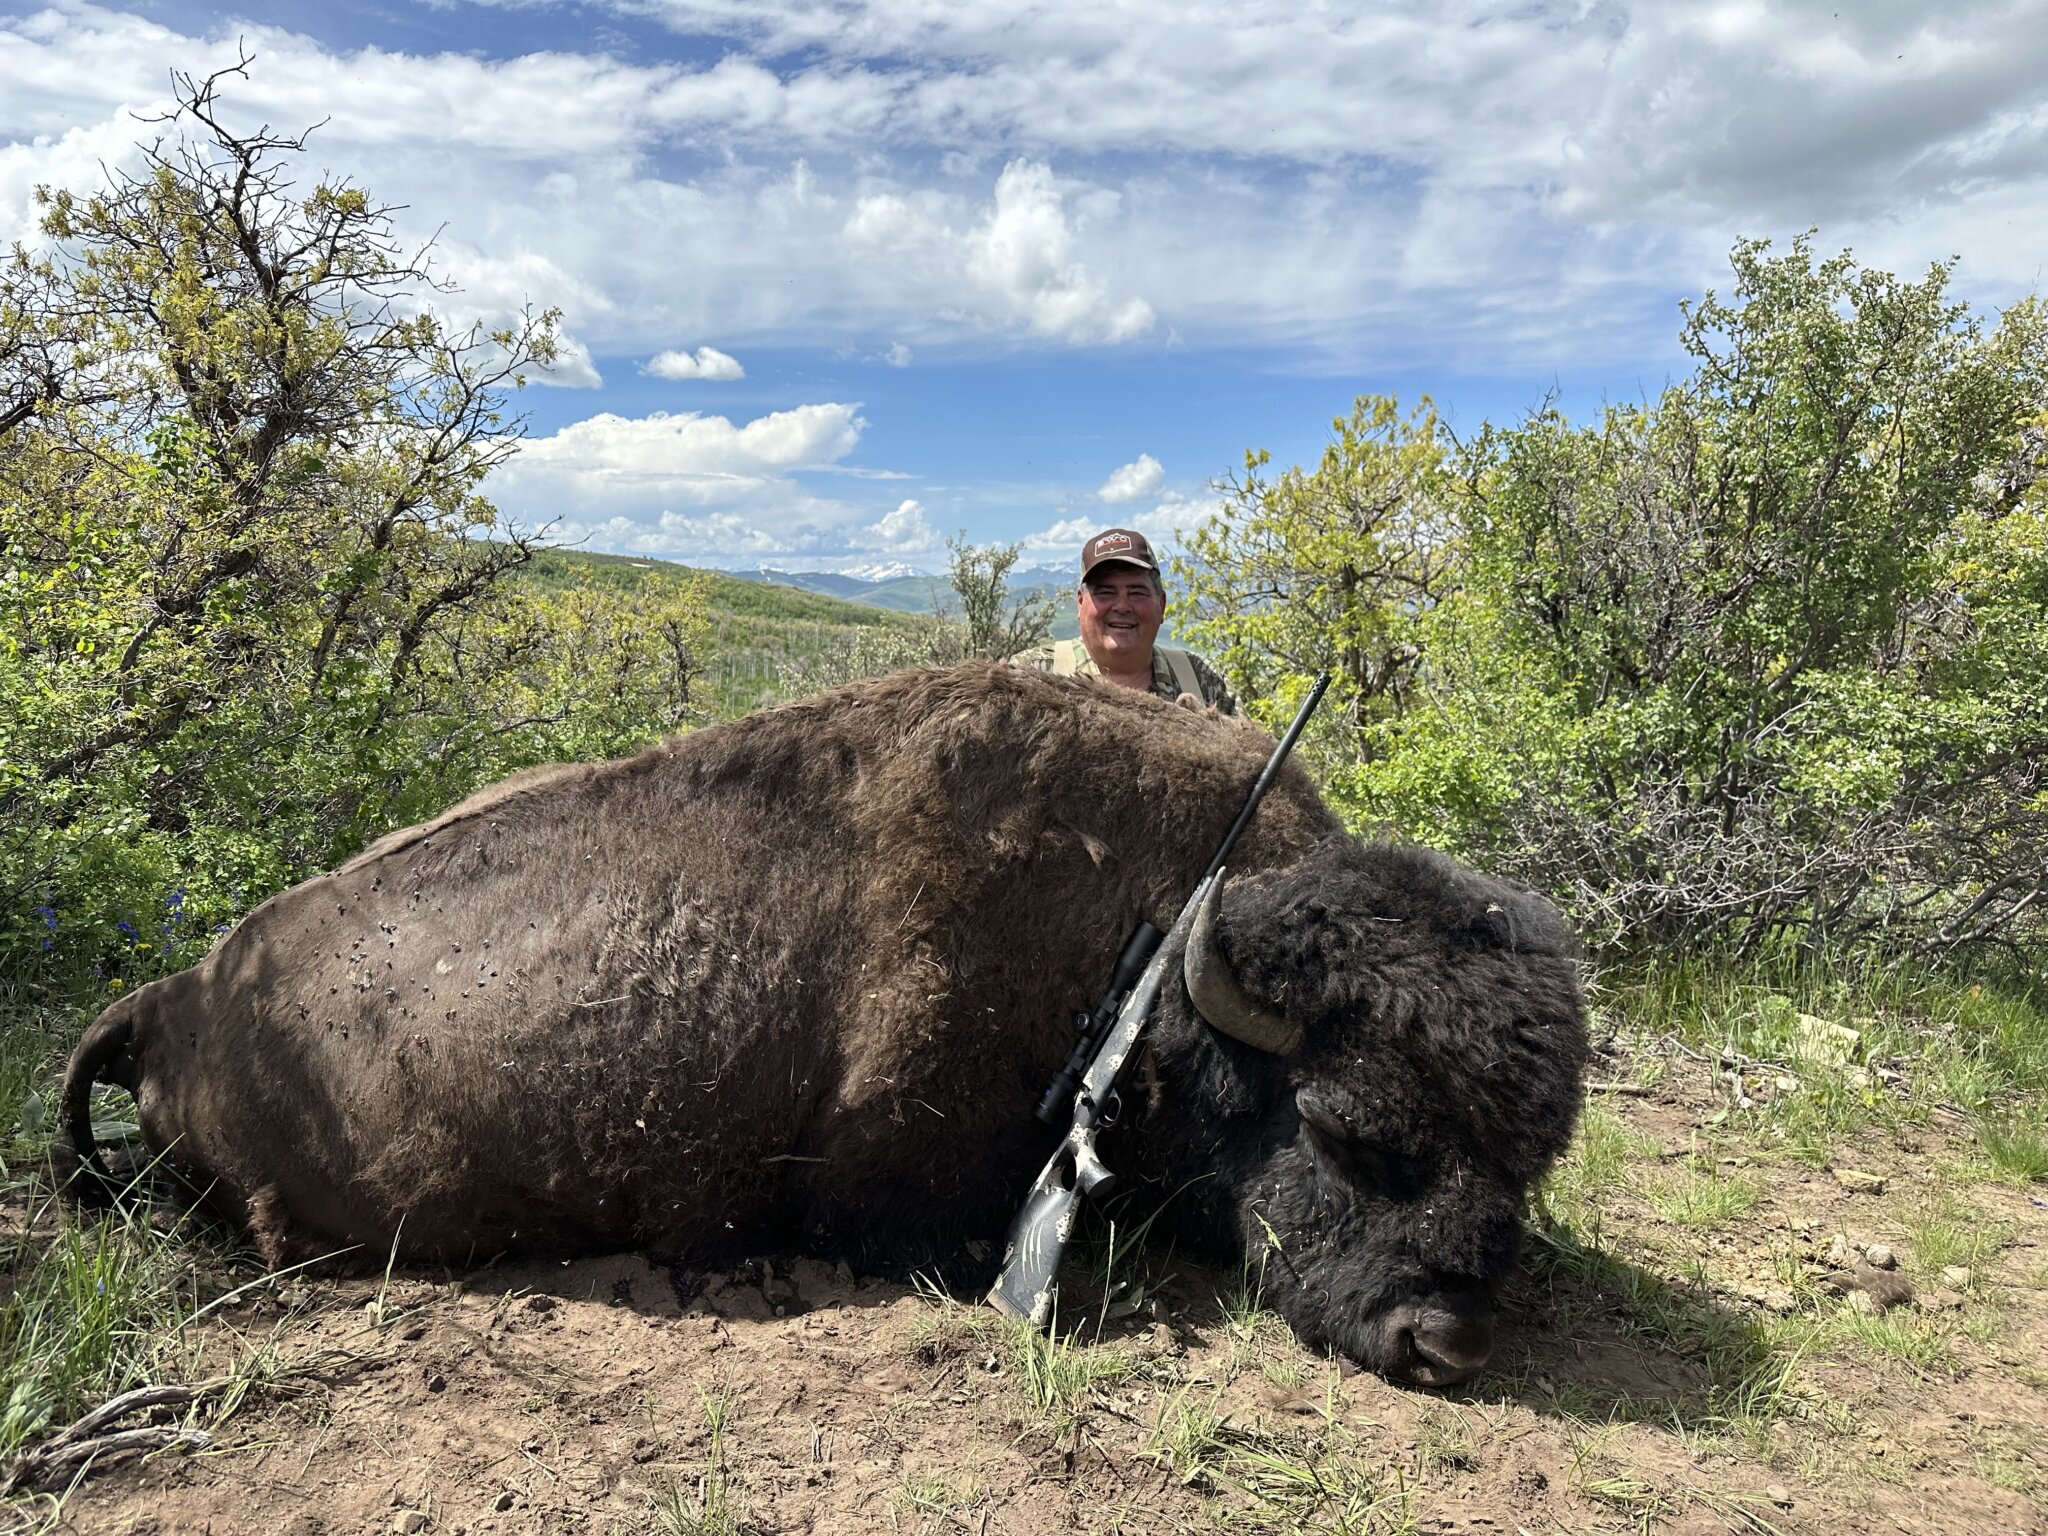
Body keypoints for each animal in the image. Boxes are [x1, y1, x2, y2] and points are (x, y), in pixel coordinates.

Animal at [63, 662, 1587, 1385]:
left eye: (1532, 1161)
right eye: (1341, 1126)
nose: (1446, 1344)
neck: (1163, 925)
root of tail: (170, 995)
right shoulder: (893, 1196)